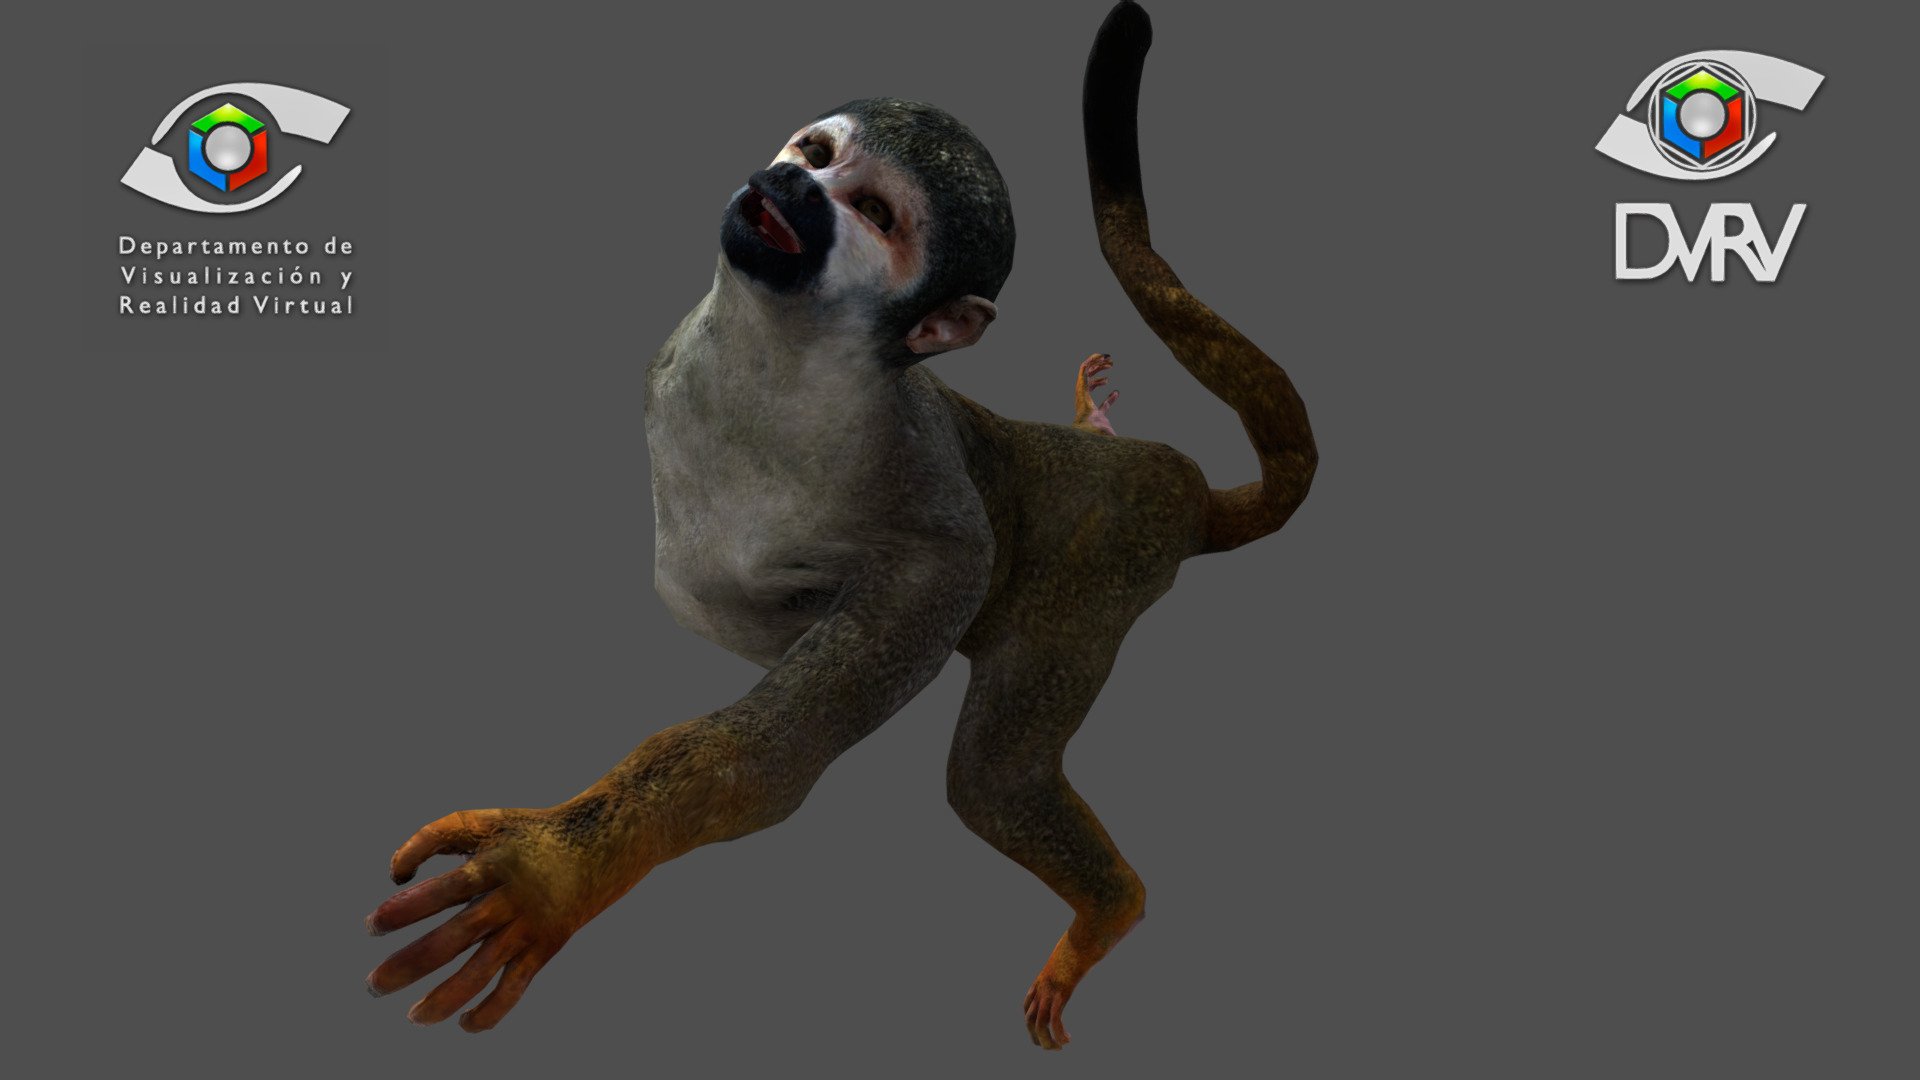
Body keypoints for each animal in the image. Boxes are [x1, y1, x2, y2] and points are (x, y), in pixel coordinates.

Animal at [364, 1, 1315, 1050]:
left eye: (873, 213)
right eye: (815, 155)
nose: (786, 180)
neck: (788, 367)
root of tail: (1175, 485)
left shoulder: (939, 536)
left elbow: (764, 761)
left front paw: (560, 866)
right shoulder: (668, 369)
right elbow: (709, 596)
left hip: (1100, 571)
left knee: (994, 775)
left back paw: (1108, 909)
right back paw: (1086, 422)